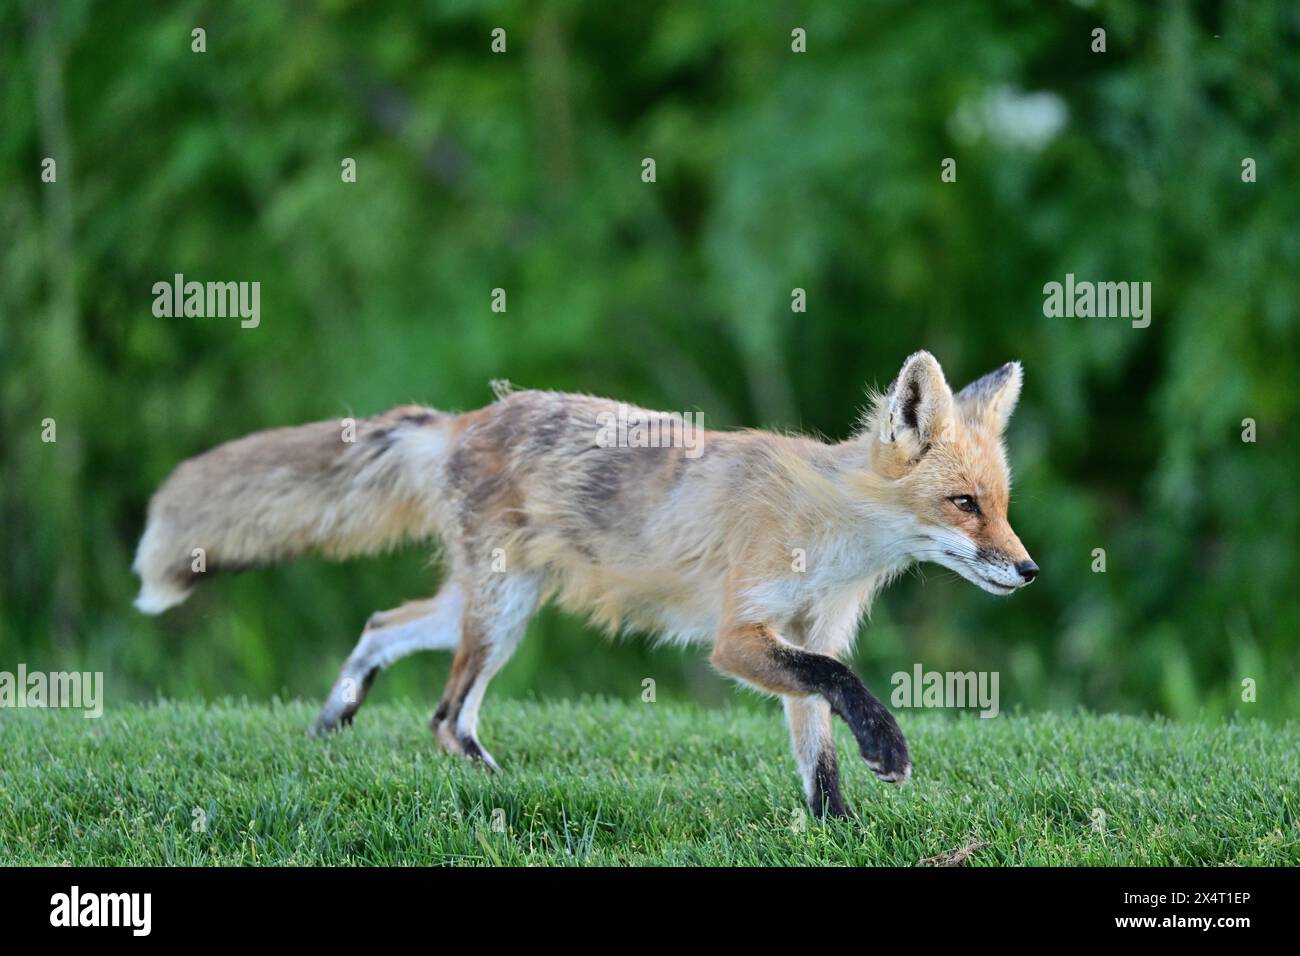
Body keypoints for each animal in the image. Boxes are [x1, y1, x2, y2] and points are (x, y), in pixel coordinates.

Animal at [132, 350, 1036, 817]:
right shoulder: (740, 636)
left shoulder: (805, 633)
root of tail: (464, 420)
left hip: (491, 604)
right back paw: (503, 791)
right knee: (445, 714)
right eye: (963, 505)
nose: (1028, 570)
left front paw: (837, 831)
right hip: (500, 615)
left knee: (383, 624)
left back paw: (333, 722)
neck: (829, 531)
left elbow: (818, 749)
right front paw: (886, 746)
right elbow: (841, 683)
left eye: (1001, 505)